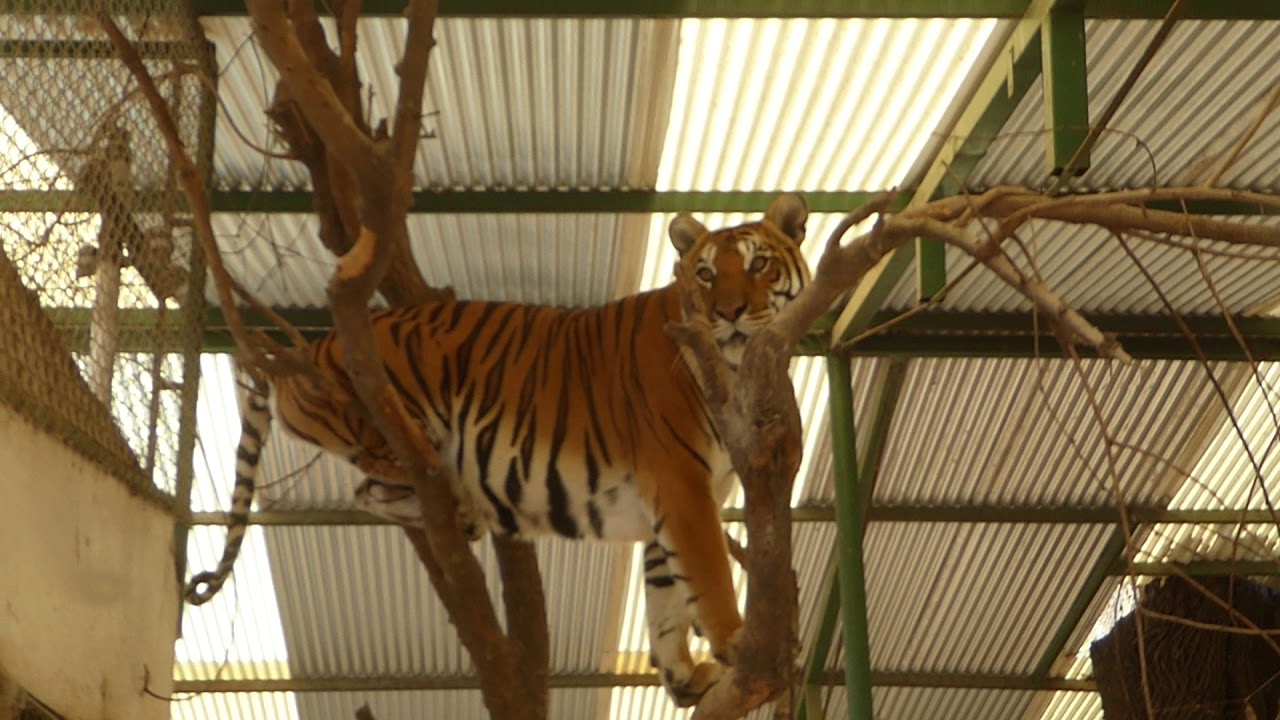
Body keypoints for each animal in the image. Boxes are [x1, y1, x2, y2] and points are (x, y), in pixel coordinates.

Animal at [185, 193, 810, 707]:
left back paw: (458, 512)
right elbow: (708, 573)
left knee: (366, 491)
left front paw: (681, 676)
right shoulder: (682, 485)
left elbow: (663, 596)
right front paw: (736, 638)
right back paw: (451, 495)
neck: (735, 372)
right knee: (375, 470)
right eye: (706, 274)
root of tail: (316, 346)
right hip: (383, 405)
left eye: (758, 264)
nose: (728, 312)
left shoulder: (675, 498)